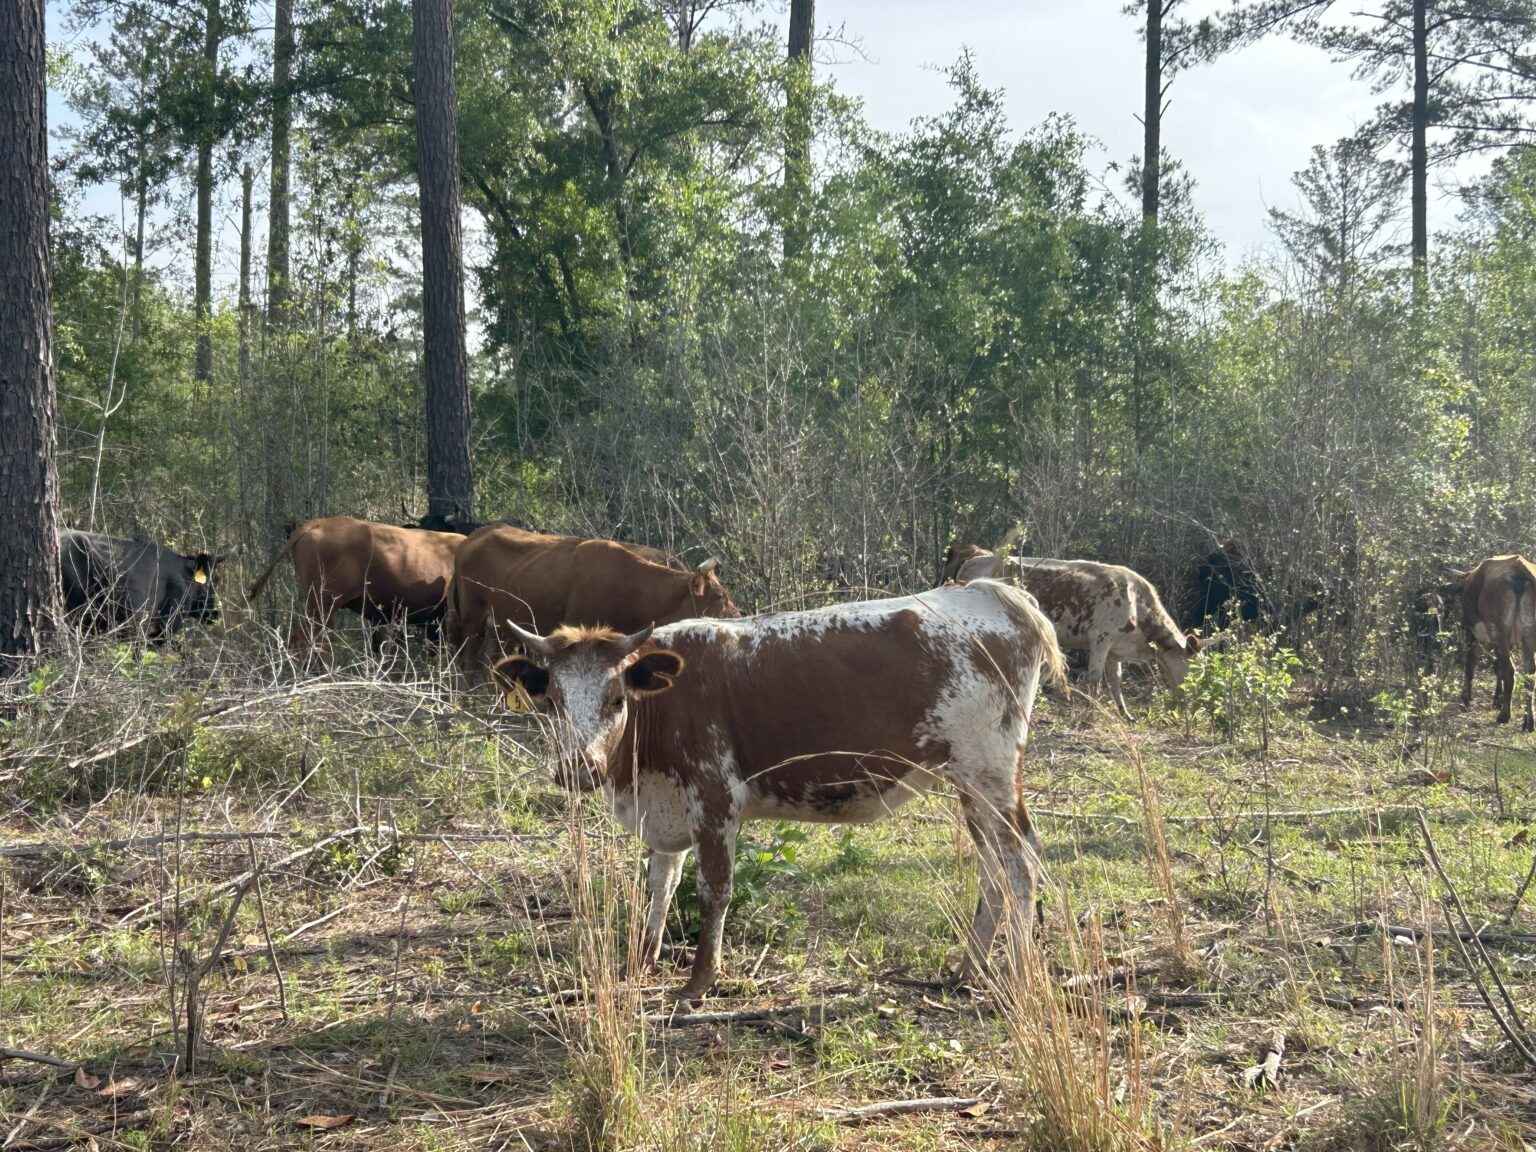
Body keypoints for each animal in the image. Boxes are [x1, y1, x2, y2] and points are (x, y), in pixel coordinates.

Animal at [450, 525, 739, 680]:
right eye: (719, 596)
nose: (738, 616)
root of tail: (476, 534)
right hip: (471, 615)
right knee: (469, 658)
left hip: (502, 624)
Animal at [491, 579, 1065, 999]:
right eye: (552, 700)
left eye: (616, 698)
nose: (577, 769)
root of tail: (990, 590)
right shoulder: (666, 810)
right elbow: (660, 886)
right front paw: (641, 962)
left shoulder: (714, 801)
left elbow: (713, 890)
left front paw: (698, 984)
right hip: (970, 784)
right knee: (993, 866)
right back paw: (968, 969)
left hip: (990, 771)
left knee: (1020, 859)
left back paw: (1017, 974)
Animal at [947, 547, 1198, 719]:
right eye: (1191, 667)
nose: (1192, 698)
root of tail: (976, 558)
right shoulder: (1101, 639)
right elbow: (1095, 679)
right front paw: (1094, 713)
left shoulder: (1115, 648)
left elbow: (1116, 680)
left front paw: (1124, 713)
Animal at [1452, 555, 1536, 731]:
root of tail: (1518, 567)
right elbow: (1498, 668)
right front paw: (1498, 699)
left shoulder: (1470, 631)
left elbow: (1470, 663)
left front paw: (1465, 698)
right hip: (1527, 635)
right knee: (1529, 674)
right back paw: (1528, 722)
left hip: (1498, 632)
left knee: (1510, 671)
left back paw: (1504, 716)